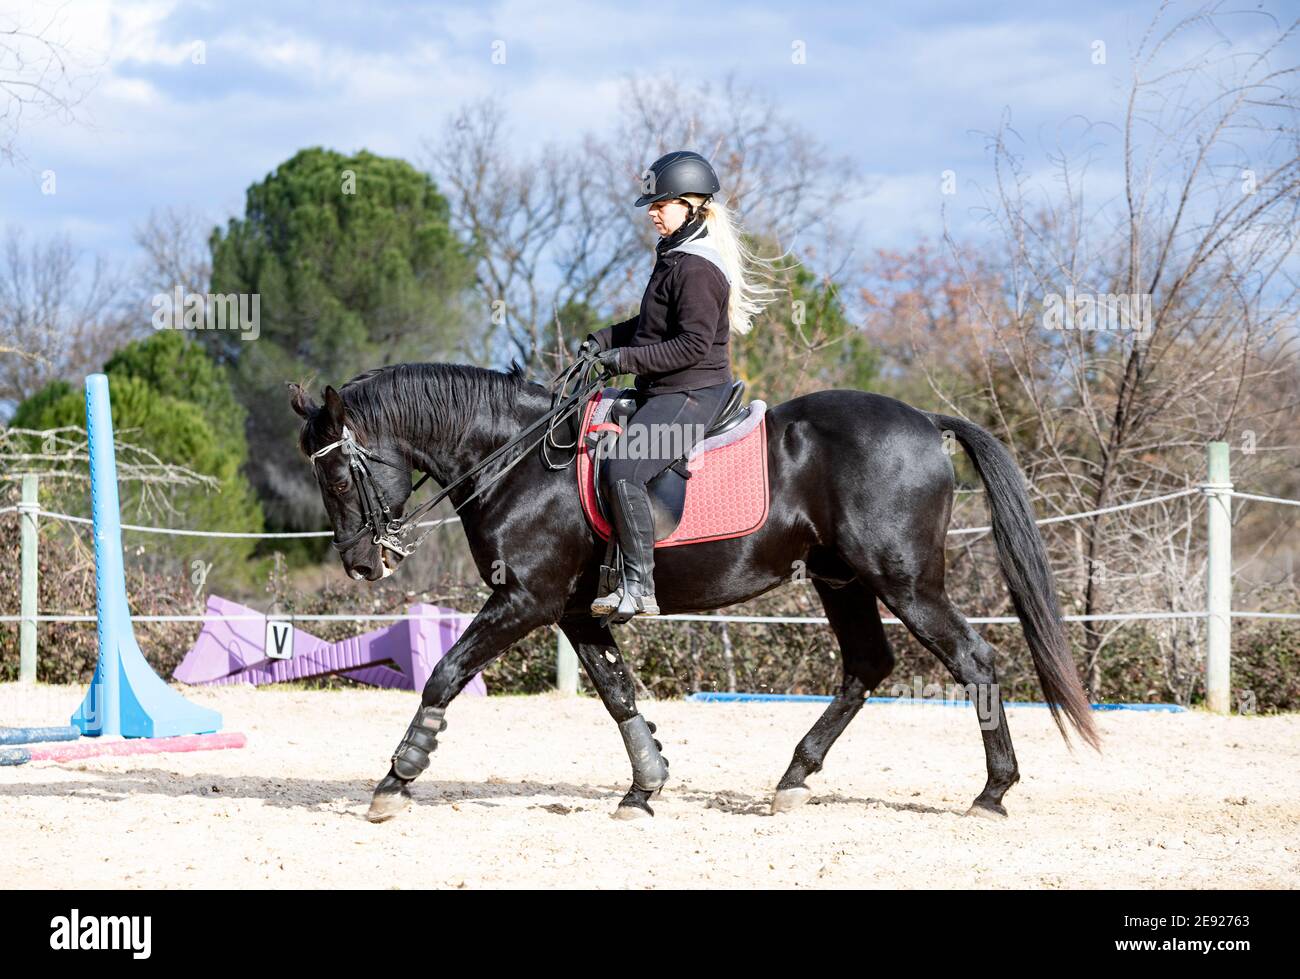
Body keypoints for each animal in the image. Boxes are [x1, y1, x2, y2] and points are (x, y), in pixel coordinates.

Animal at [289, 361, 1099, 824]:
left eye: (336, 475)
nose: (362, 565)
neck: (518, 461)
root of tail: (926, 422)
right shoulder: (576, 611)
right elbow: (617, 694)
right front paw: (645, 786)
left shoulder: (526, 602)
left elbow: (445, 674)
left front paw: (396, 779)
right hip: (842, 579)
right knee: (867, 666)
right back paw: (793, 780)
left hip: (903, 579)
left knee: (975, 660)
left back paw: (993, 792)